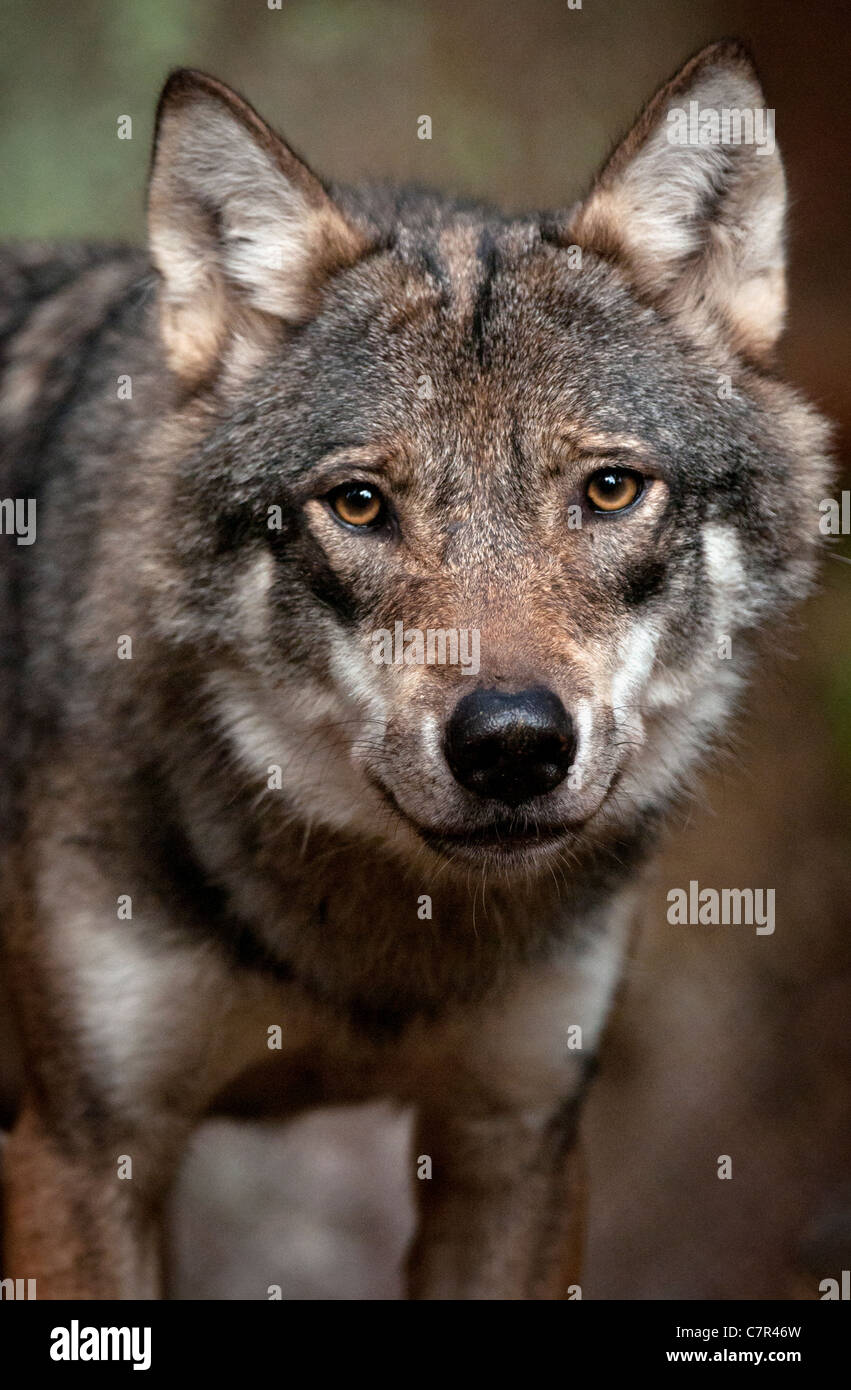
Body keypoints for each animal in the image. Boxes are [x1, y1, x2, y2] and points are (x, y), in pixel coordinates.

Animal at [0, 40, 832, 1299]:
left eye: (607, 489)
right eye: (358, 504)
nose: (511, 746)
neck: (379, 948)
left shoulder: (515, 1145)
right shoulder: (81, 1155)